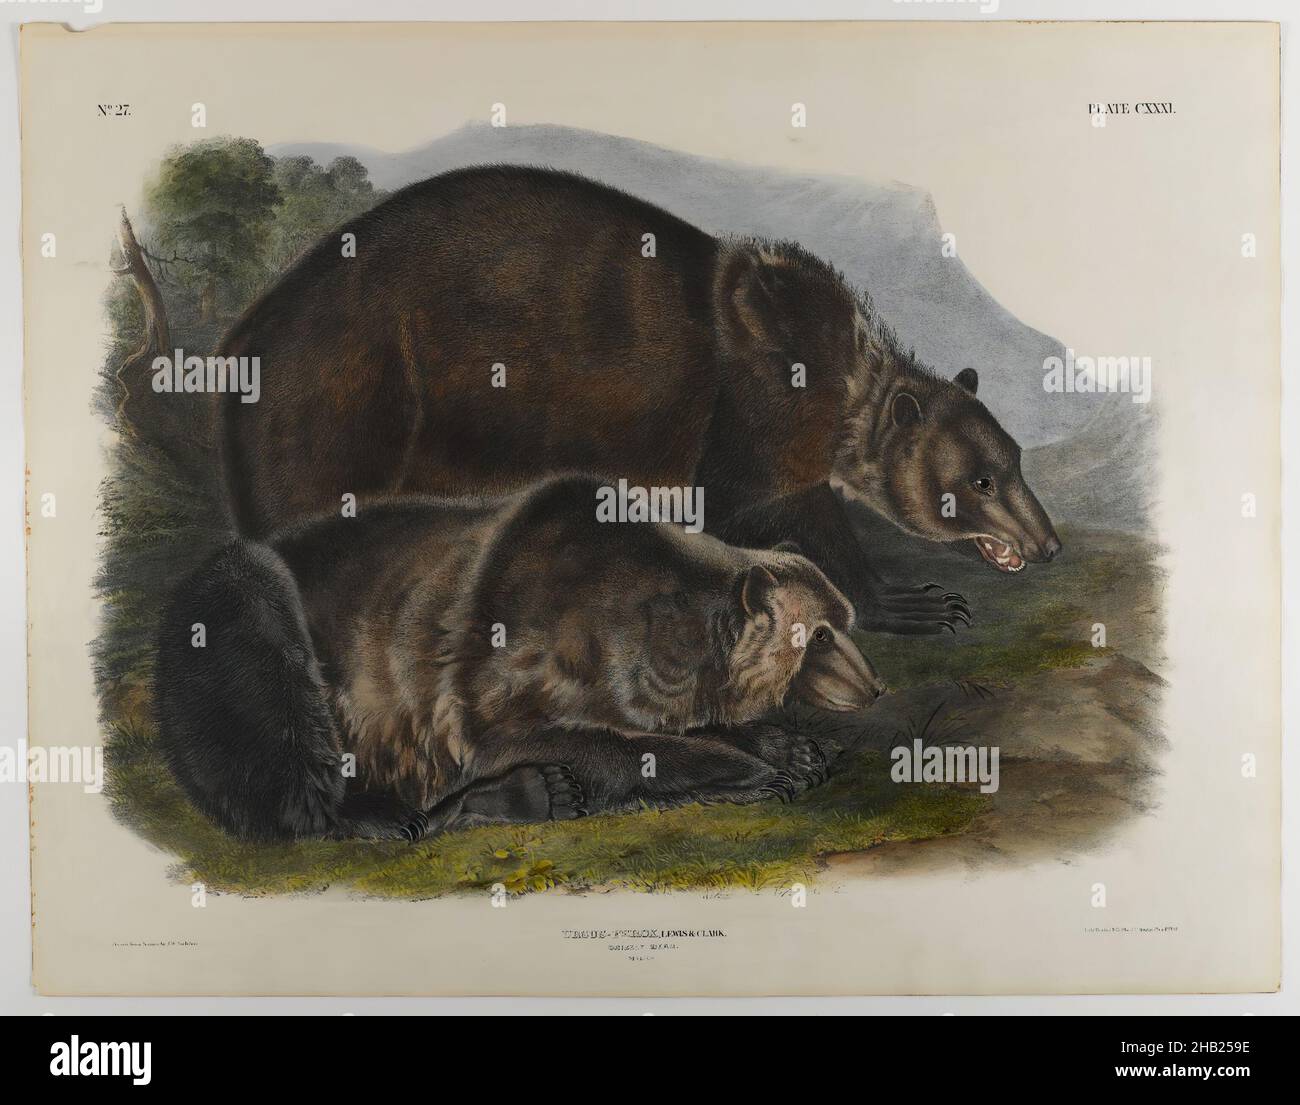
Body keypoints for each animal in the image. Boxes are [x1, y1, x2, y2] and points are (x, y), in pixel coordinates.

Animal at [155, 475, 885, 842]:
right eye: (823, 634)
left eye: (845, 620)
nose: (874, 688)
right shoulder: (510, 642)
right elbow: (527, 733)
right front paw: (752, 770)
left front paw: (791, 747)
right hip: (237, 613)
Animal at [216, 165, 1061, 635]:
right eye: (980, 480)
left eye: (1015, 460)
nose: (1049, 542)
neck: (841, 377)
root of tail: (242, 338)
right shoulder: (754, 408)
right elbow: (758, 508)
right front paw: (907, 602)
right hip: (348, 397)